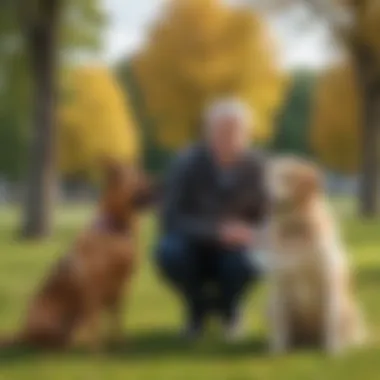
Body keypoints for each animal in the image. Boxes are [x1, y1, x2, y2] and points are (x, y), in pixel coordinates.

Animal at [1, 160, 153, 350]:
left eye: (146, 177)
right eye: (140, 180)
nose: (162, 185)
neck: (116, 227)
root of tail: (21, 332)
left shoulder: (121, 288)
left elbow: (117, 322)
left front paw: (122, 345)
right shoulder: (94, 288)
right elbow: (97, 324)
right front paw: (99, 351)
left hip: (77, 320)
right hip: (50, 320)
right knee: (46, 341)